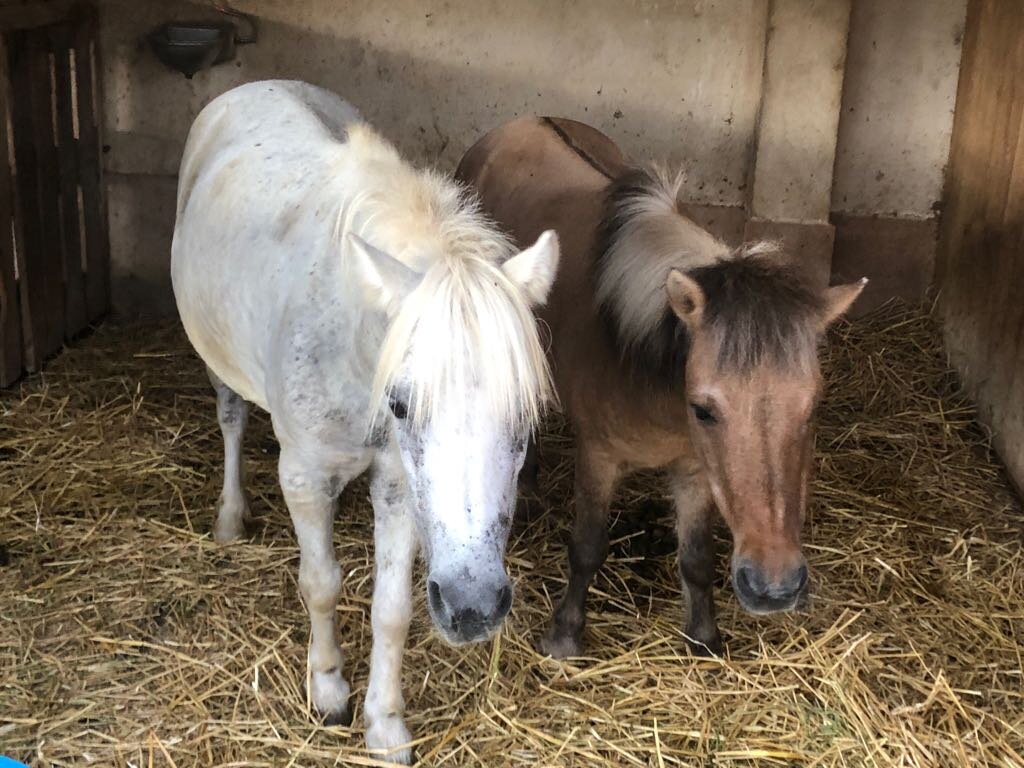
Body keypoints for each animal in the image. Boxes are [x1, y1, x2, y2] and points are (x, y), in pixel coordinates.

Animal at [171, 81, 559, 764]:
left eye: (526, 412)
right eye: (402, 403)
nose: (473, 606)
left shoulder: (399, 485)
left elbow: (392, 610)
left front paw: (385, 724)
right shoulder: (303, 477)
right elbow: (321, 583)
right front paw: (328, 687)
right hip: (218, 365)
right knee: (231, 421)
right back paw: (230, 517)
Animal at [456, 118, 865, 659]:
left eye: (811, 408)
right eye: (704, 410)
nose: (773, 588)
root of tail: (518, 124)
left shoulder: (695, 470)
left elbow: (696, 557)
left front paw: (705, 637)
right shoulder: (599, 457)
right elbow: (588, 547)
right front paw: (564, 634)